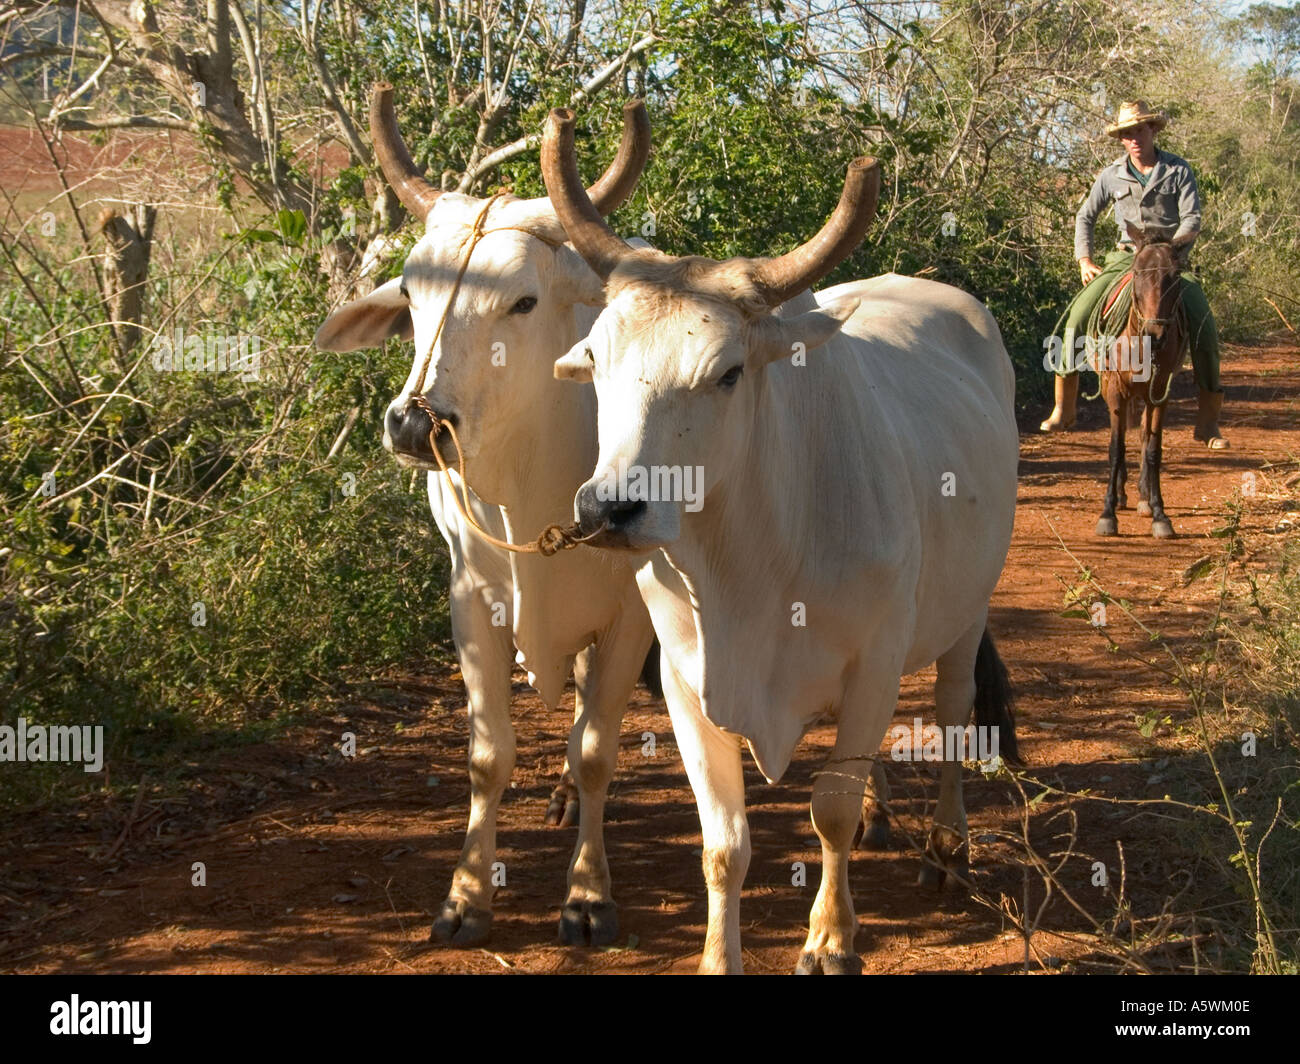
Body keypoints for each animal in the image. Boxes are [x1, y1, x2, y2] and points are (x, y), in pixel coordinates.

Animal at [1092, 222, 1190, 538]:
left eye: (1175, 276)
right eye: (1137, 272)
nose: (1154, 334)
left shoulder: (1160, 392)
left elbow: (1153, 450)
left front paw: (1160, 513)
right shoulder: (1115, 390)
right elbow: (1116, 448)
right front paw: (1108, 513)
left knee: (1144, 436)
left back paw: (1144, 497)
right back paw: (1122, 494)